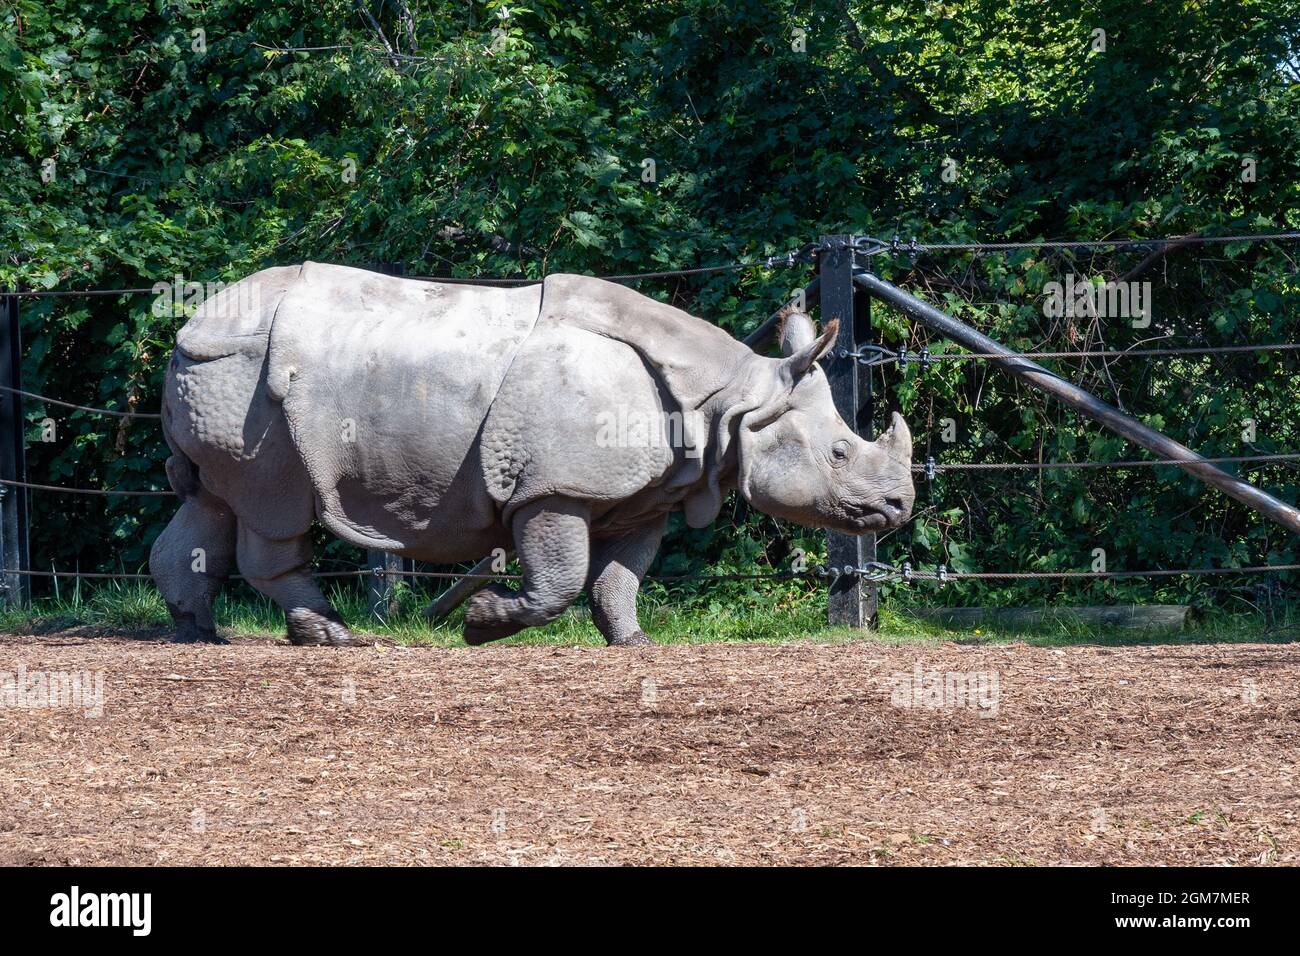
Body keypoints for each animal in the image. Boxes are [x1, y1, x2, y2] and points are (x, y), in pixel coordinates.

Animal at [150, 263, 915, 647]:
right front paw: (483, 625)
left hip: (225, 379)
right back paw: (332, 637)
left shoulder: (649, 493)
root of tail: (189, 326)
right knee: (271, 503)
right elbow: (561, 578)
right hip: (248, 381)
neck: (733, 402)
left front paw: (633, 644)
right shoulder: (555, 487)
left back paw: (197, 633)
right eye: (840, 451)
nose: (900, 506)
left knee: (213, 500)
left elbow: (619, 577)